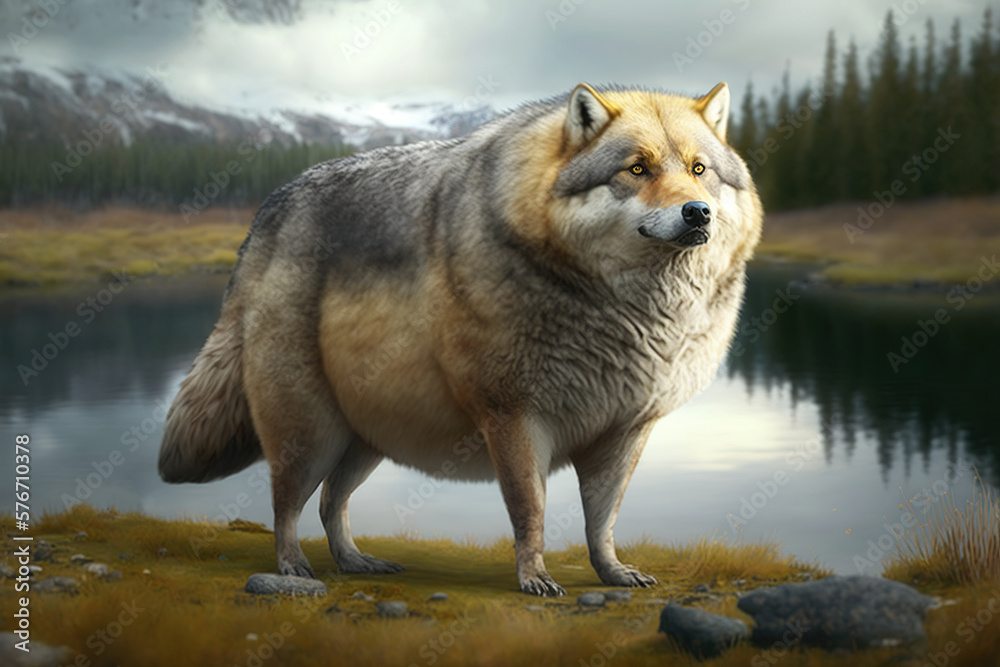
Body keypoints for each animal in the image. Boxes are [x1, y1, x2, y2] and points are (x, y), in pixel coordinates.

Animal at [158, 81, 762, 596]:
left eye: (699, 169)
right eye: (637, 168)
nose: (697, 212)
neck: (629, 313)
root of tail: (268, 210)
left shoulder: (626, 430)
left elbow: (602, 522)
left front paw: (612, 573)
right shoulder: (513, 417)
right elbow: (531, 511)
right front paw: (534, 579)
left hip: (367, 438)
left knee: (332, 502)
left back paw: (355, 562)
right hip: (310, 433)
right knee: (286, 504)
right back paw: (293, 569)